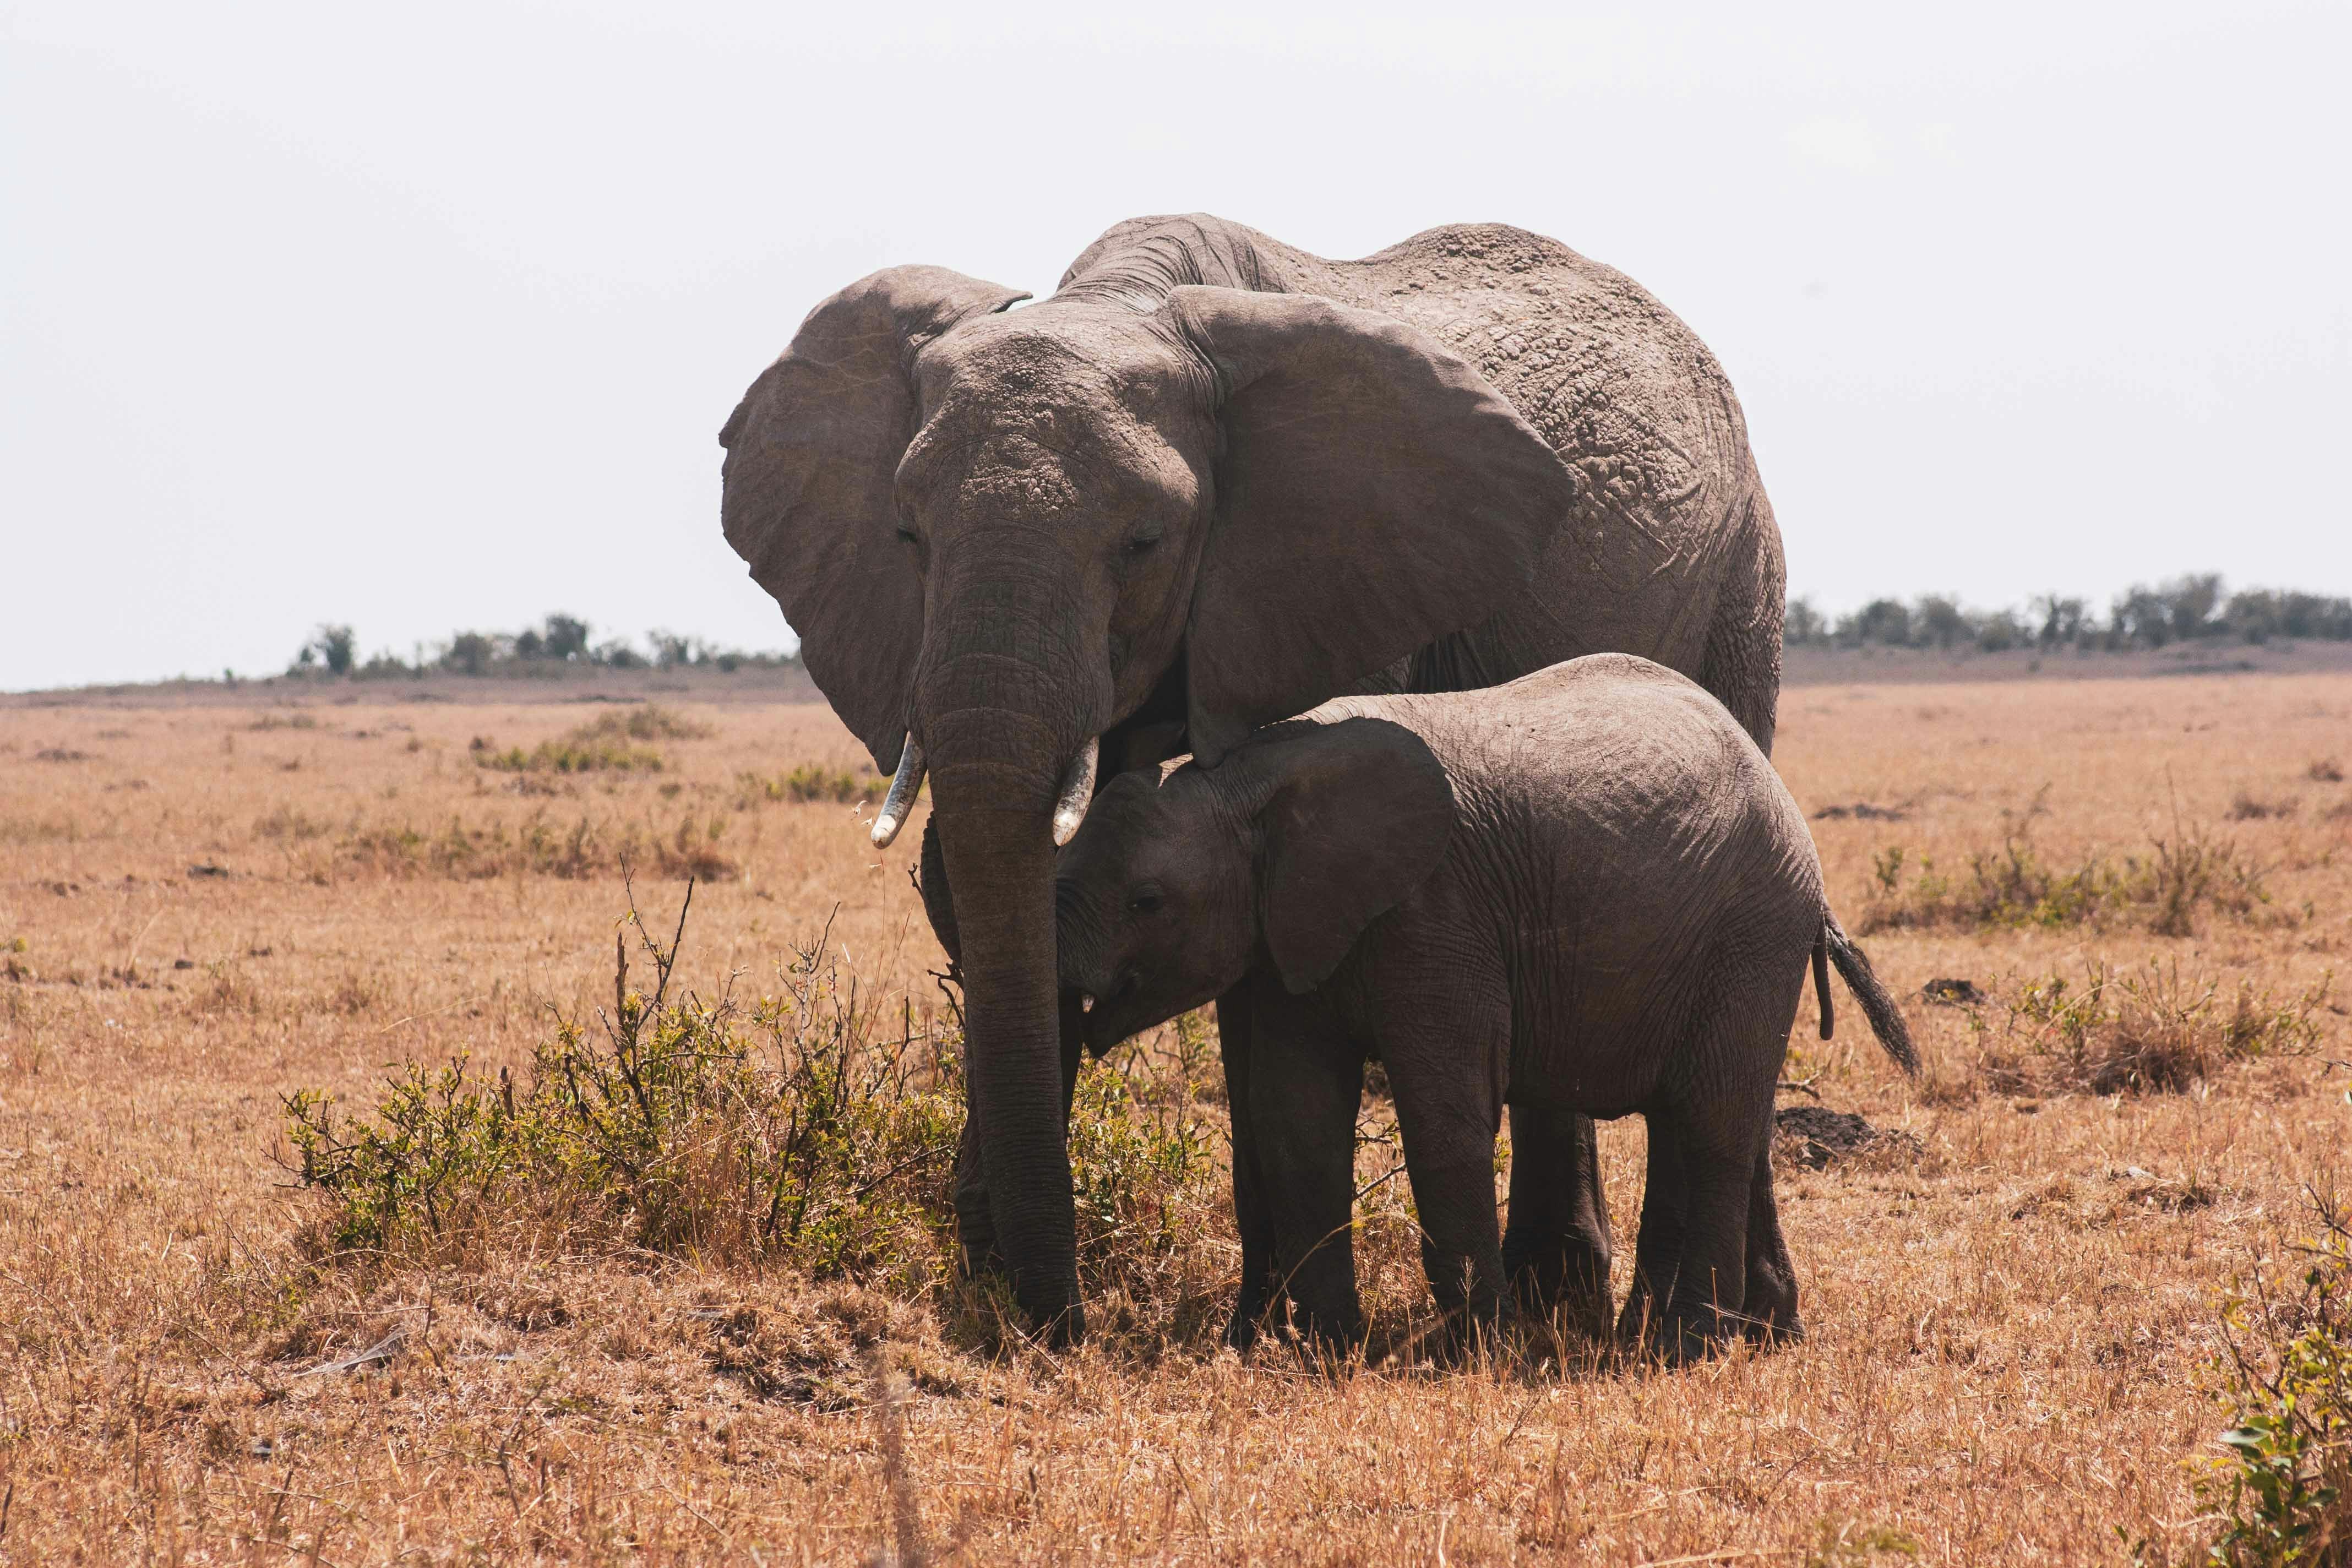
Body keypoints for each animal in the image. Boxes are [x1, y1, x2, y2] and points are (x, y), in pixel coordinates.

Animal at [719, 214, 1788, 1340]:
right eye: (906, 535)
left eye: (1144, 540)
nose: (1050, 1319)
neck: (1120, 299)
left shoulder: (1336, 563)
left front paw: (1264, 1325)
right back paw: (1572, 1295)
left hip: (1741, 581)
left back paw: (1698, 1312)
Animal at [1052, 654, 1918, 1358]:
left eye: (1147, 902)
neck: (1250, 781)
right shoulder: (1286, 935)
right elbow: (1297, 1118)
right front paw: (1331, 1352)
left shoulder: (1436, 914)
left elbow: (1447, 1110)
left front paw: (1481, 1351)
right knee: (1693, 1114)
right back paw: (1715, 1334)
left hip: (1752, 932)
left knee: (1711, 1123)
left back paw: (1687, 1349)